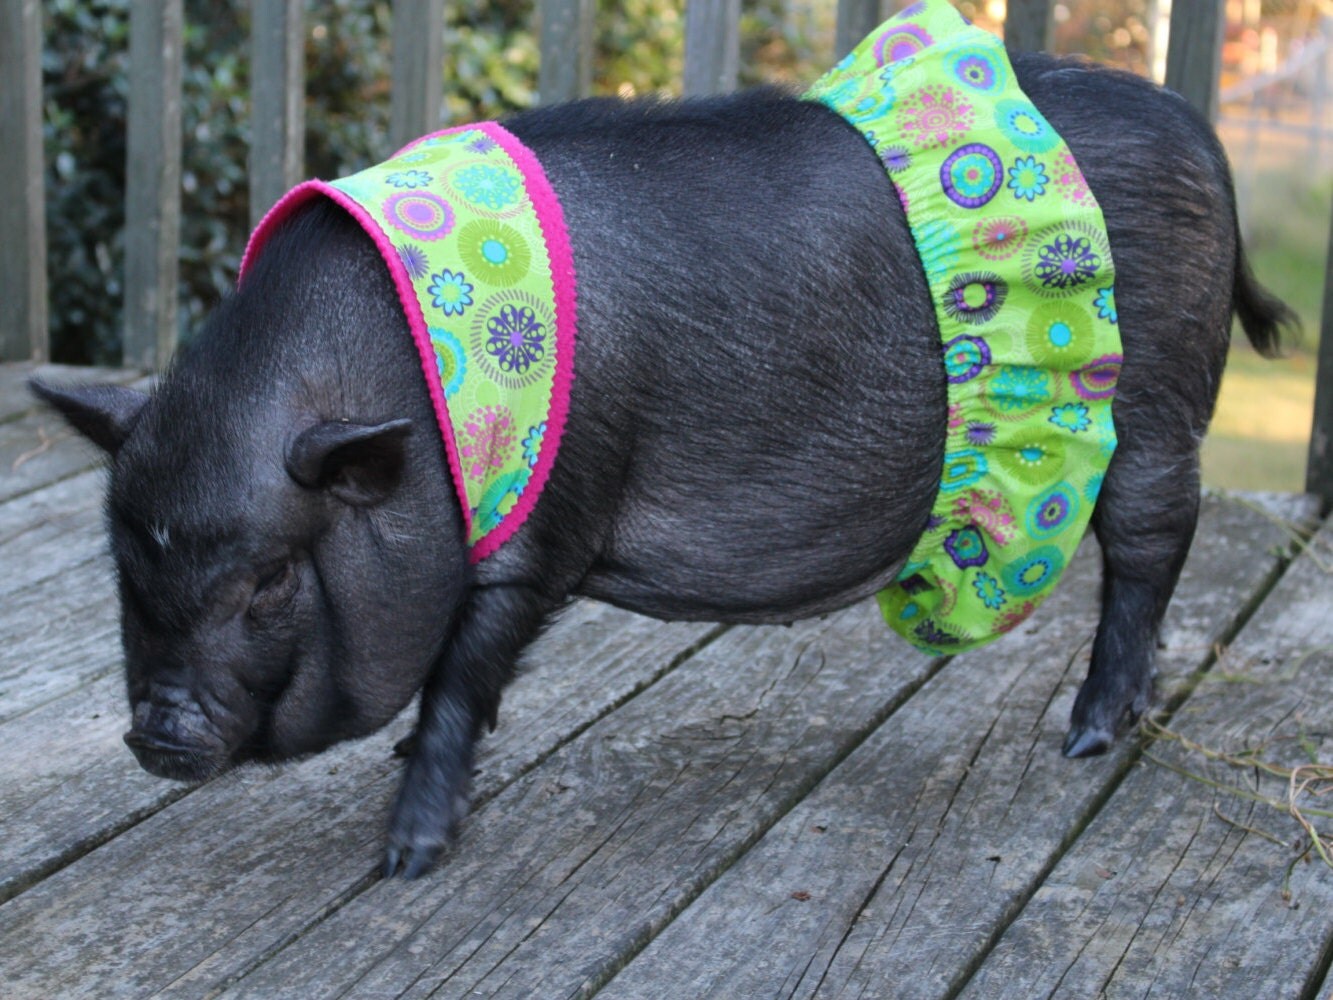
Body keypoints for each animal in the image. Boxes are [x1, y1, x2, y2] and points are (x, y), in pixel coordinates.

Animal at [33, 53, 1294, 879]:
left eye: (270, 579)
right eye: (125, 564)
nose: (157, 732)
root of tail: (1201, 137)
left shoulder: (545, 530)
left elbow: (462, 674)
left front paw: (407, 854)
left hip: (1156, 404)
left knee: (1149, 552)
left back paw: (1086, 737)